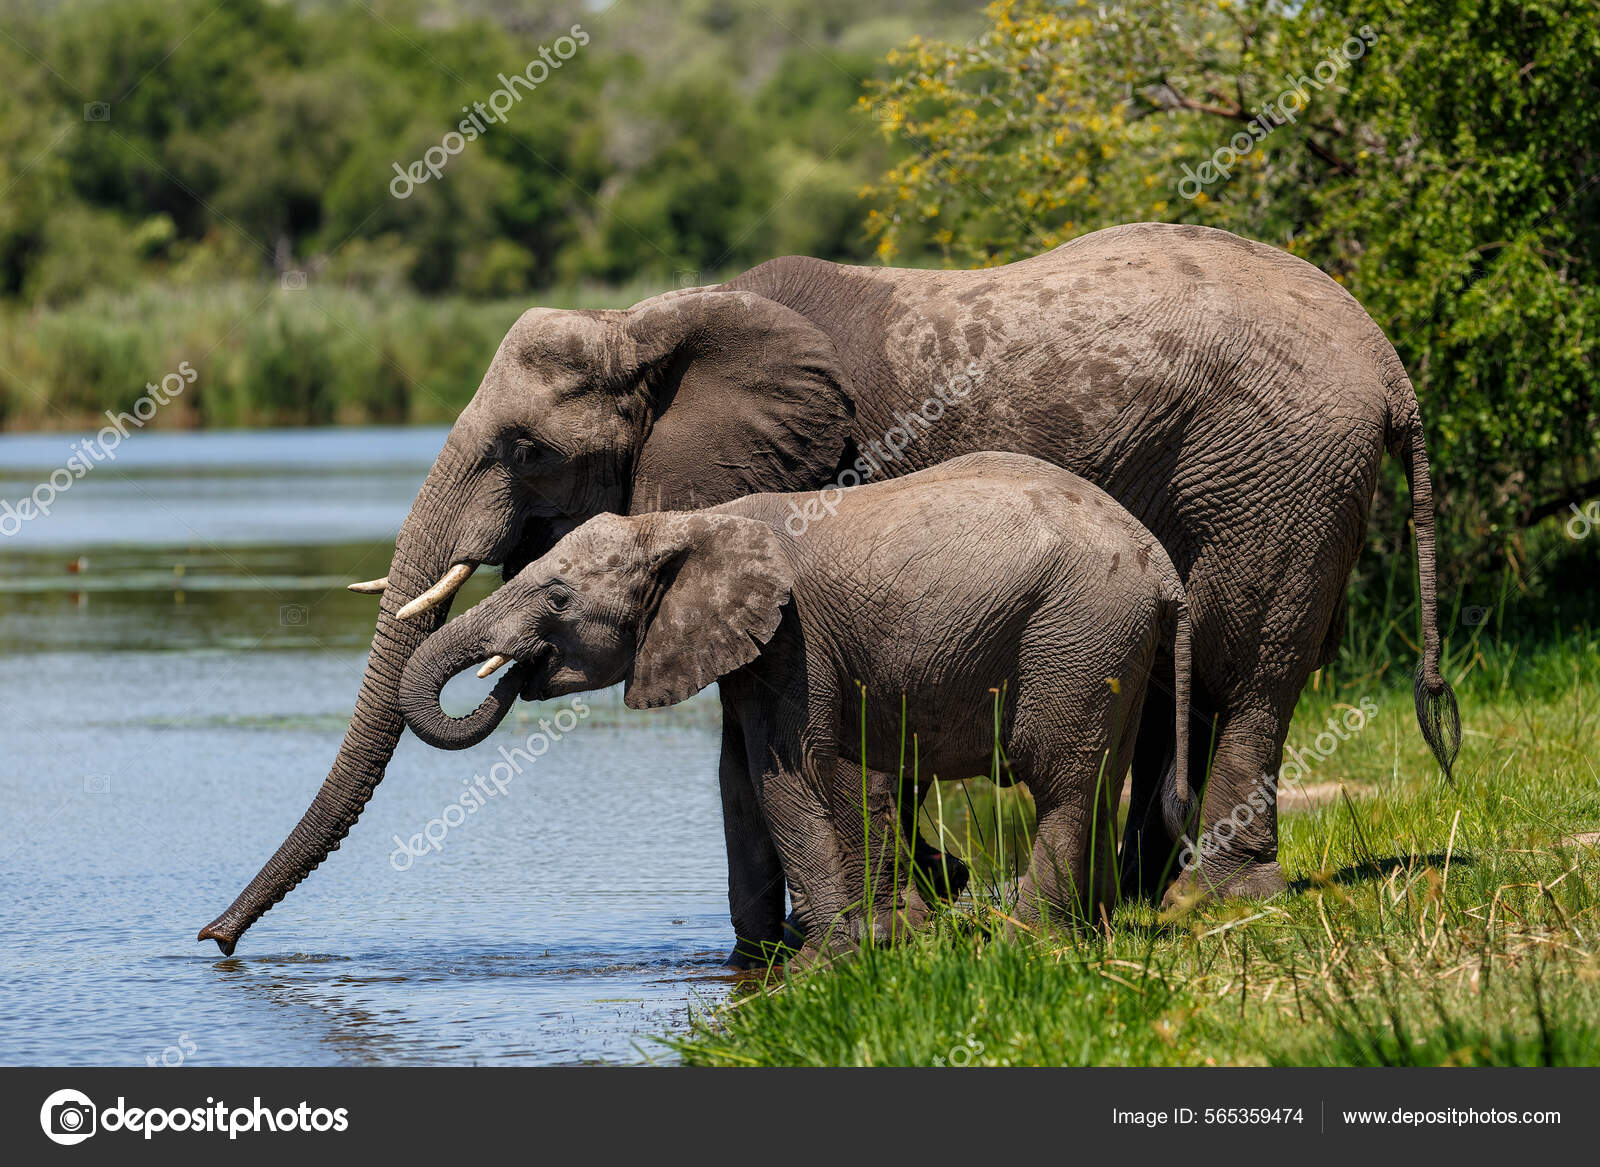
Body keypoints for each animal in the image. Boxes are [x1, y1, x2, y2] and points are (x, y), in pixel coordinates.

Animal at [393, 453, 1195, 957]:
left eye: (558, 597)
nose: (511, 672)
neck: (692, 523)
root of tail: (1160, 562)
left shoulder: (795, 640)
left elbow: (786, 772)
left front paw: (834, 951)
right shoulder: (753, 651)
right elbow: (739, 779)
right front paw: (776, 951)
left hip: (1078, 627)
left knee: (1061, 780)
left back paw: (1025, 942)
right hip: (1109, 642)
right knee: (1100, 777)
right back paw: (1088, 933)